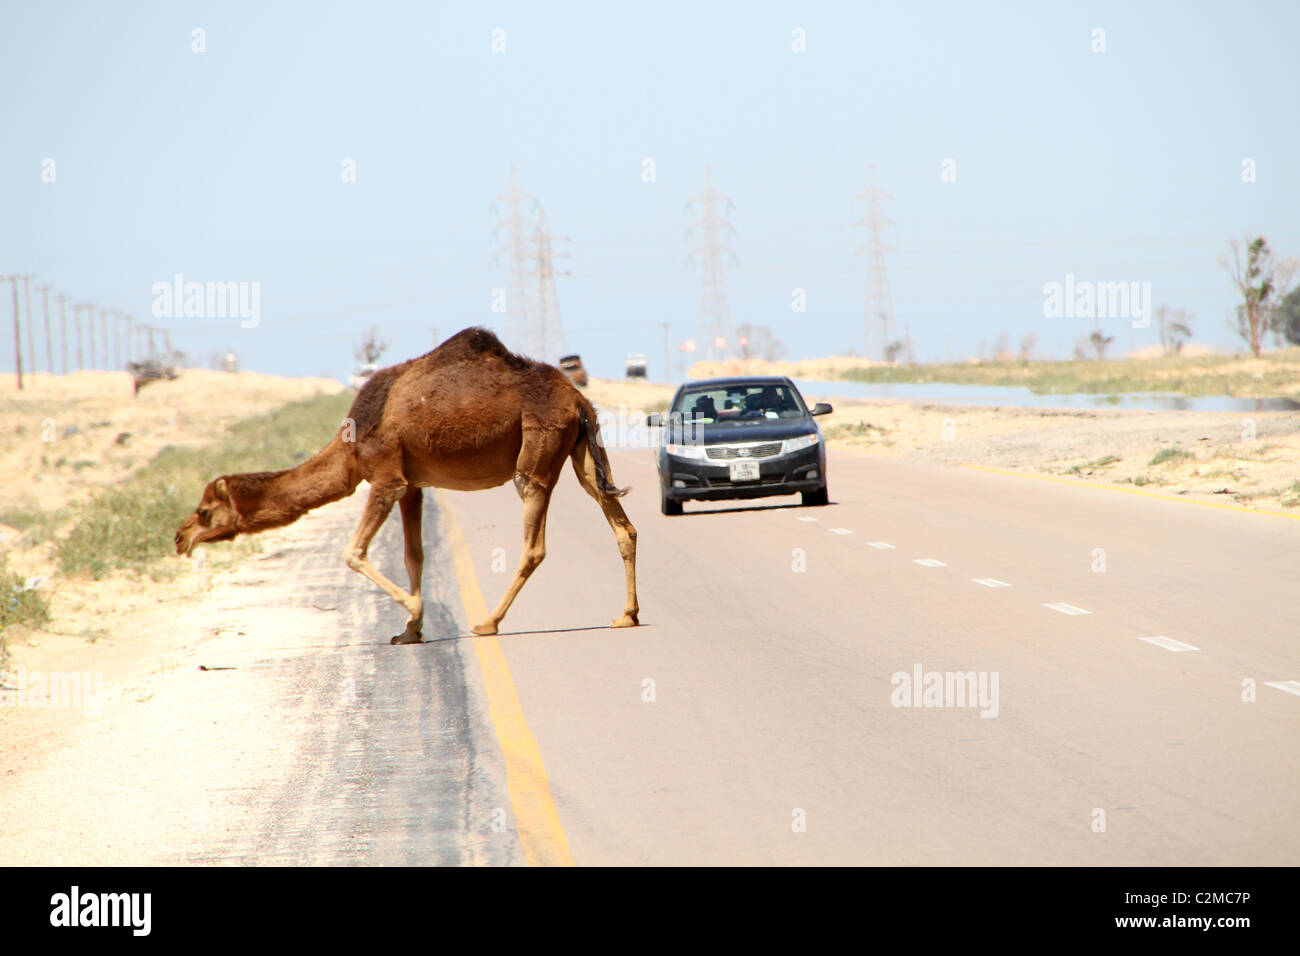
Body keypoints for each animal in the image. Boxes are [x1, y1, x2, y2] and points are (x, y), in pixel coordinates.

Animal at [174, 327, 639, 643]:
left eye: (204, 512)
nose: (180, 537)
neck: (350, 445)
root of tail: (577, 397)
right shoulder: (413, 485)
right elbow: (414, 555)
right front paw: (410, 630)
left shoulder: (385, 478)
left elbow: (353, 552)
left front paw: (413, 610)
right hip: (582, 450)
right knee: (621, 522)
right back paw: (627, 615)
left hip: (536, 453)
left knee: (534, 544)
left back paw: (488, 622)